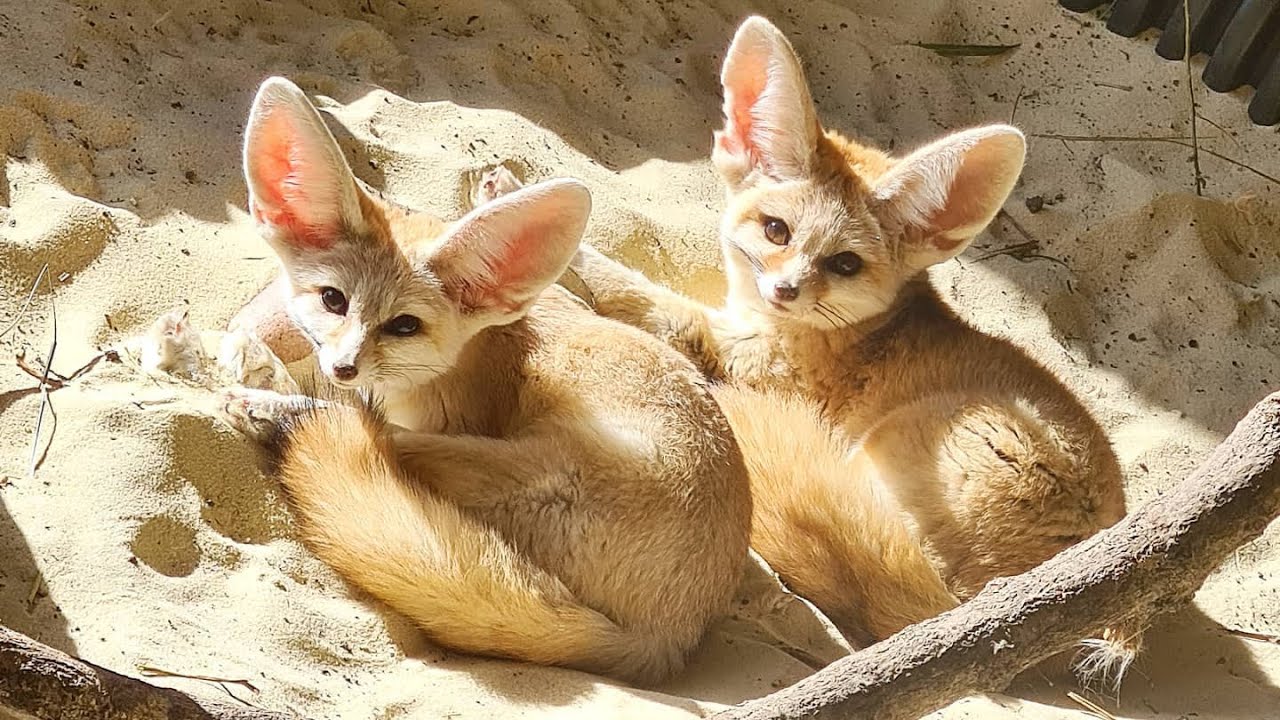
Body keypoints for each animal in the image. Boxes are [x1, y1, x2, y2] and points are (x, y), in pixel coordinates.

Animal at [217, 77, 753, 685]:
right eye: (334, 300)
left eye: (404, 326)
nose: (345, 368)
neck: (472, 353)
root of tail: (668, 636)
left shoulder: (436, 418)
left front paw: (263, 383)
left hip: (476, 456)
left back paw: (269, 408)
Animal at [557, 16, 1141, 681]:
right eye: (776, 230)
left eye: (844, 263)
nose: (785, 290)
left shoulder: (736, 354)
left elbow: (645, 298)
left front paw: (558, 236)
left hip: (898, 444)